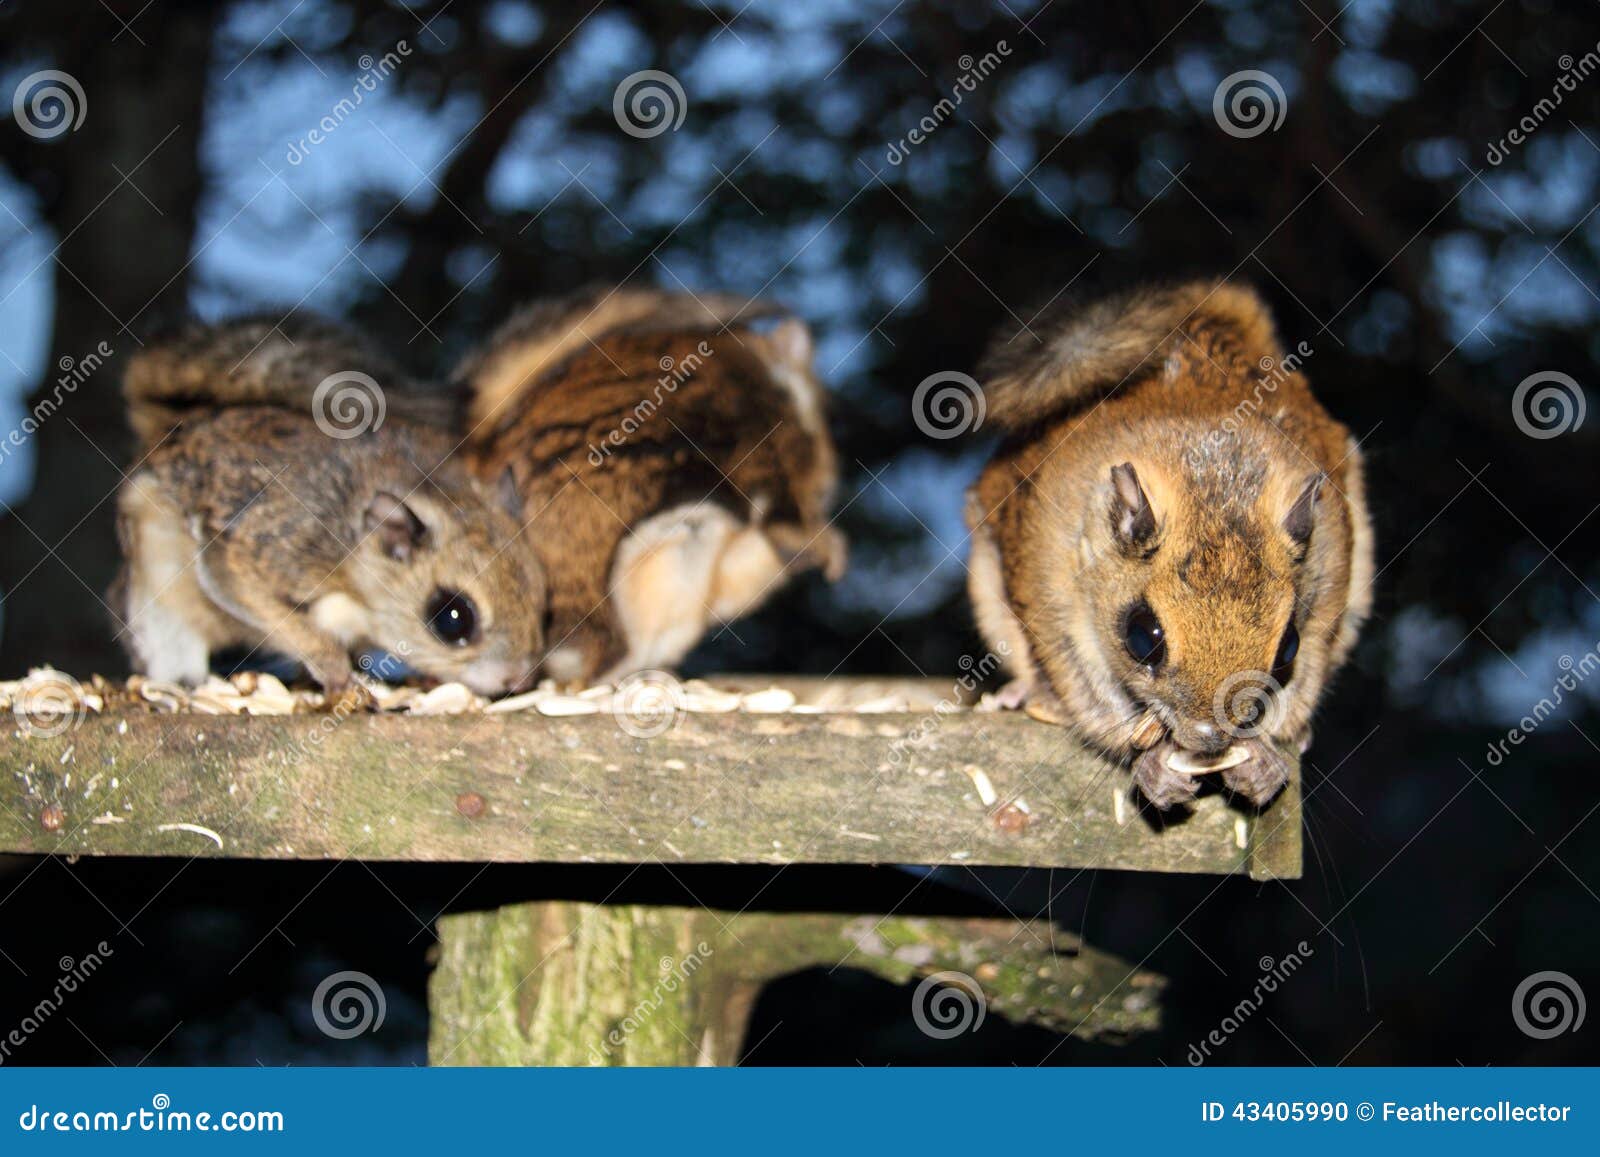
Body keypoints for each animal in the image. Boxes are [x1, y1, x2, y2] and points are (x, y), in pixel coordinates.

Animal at [112, 316, 547, 696]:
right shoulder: (264, 550)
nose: (520, 681)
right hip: (156, 602)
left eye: (543, 605)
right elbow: (267, 607)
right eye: (453, 619)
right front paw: (338, 673)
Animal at [965, 280, 1374, 810]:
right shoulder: (1052, 598)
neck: (1212, 482)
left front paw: (1261, 760)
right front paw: (1154, 765)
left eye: (1289, 648)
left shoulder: (1329, 587)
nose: (1209, 739)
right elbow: (1092, 697)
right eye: (1142, 637)